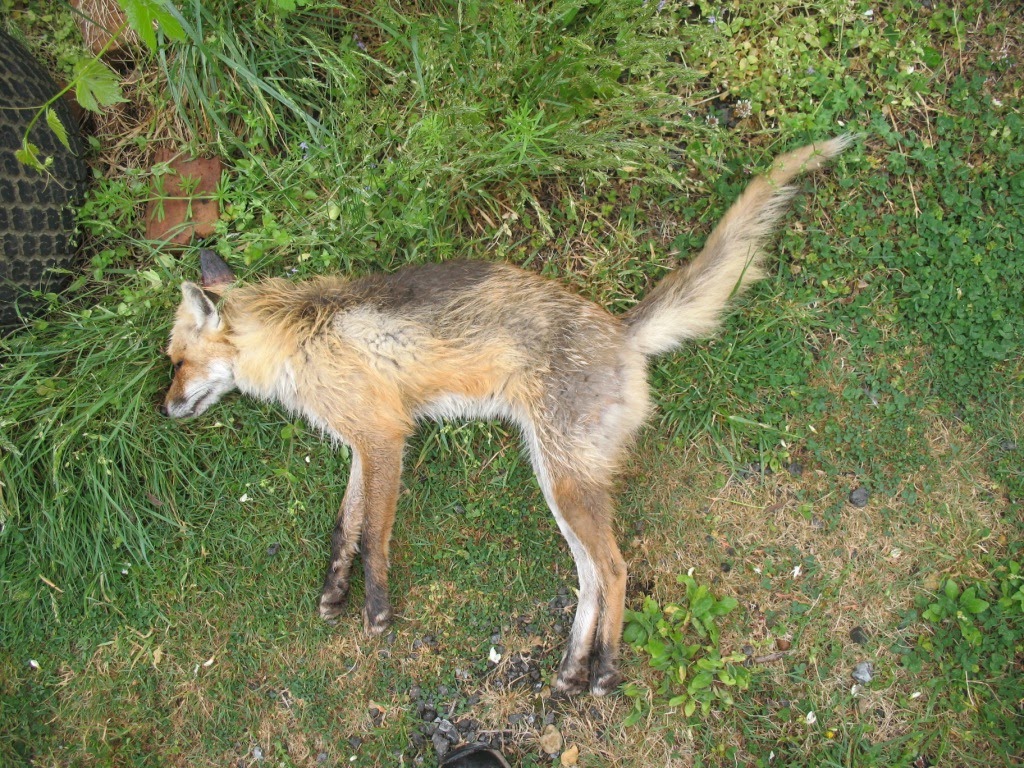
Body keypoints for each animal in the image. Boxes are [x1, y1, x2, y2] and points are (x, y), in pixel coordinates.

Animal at [162, 137, 849, 696]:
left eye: (176, 361)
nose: (165, 408)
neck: (298, 336)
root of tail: (622, 331)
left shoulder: (384, 436)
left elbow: (374, 536)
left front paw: (375, 609)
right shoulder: (363, 442)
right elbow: (344, 528)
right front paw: (334, 592)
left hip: (563, 478)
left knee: (617, 569)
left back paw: (605, 669)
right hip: (559, 479)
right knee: (591, 577)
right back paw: (571, 669)